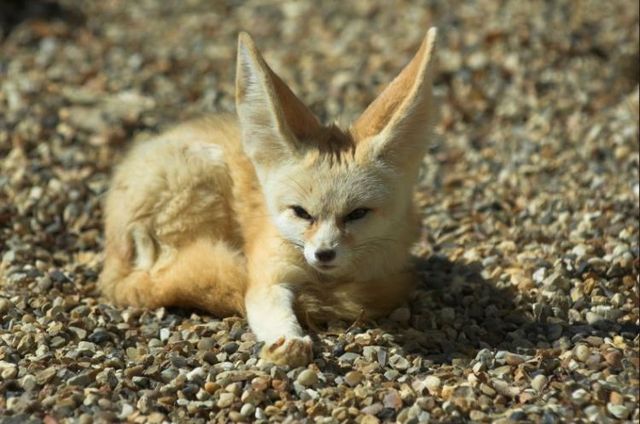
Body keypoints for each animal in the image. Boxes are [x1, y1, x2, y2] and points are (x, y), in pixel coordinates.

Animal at [98, 28, 437, 367]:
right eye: (301, 212)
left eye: (357, 214)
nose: (324, 254)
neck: (326, 279)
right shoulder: (268, 274)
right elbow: (267, 307)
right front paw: (288, 340)